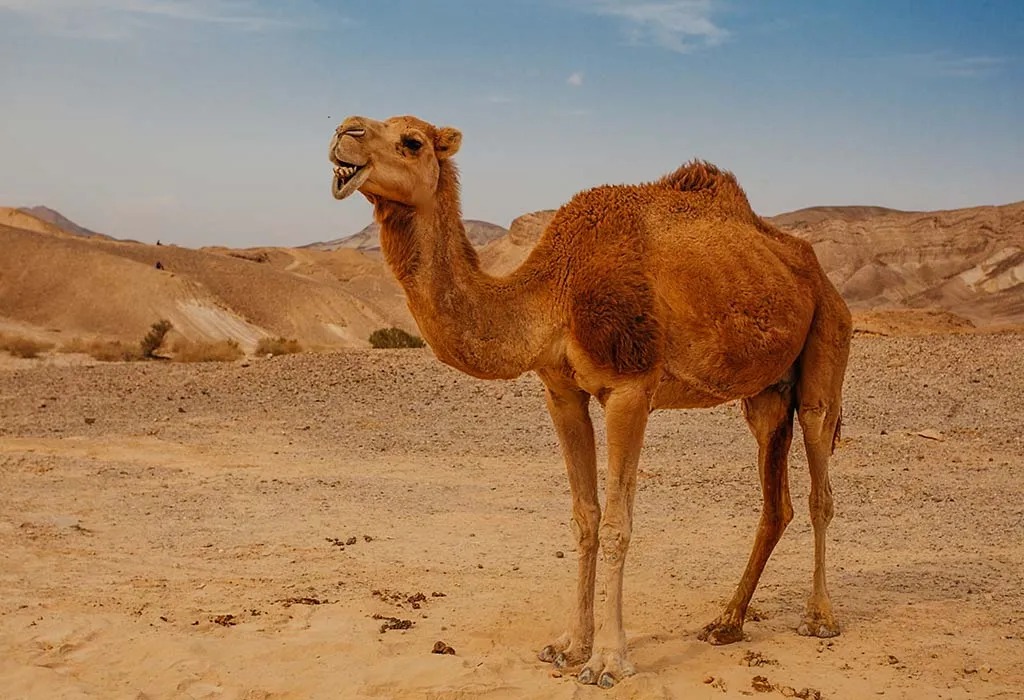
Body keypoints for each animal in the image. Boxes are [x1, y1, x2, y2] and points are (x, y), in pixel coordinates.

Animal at [328, 115, 852, 689]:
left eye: (412, 142)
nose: (345, 132)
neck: (555, 291)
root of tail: (817, 271)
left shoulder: (630, 387)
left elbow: (618, 522)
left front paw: (607, 660)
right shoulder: (561, 391)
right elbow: (585, 516)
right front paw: (568, 646)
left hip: (827, 339)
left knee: (819, 481)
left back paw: (820, 618)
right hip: (765, 394)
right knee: (775, 500)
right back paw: (727, 622)